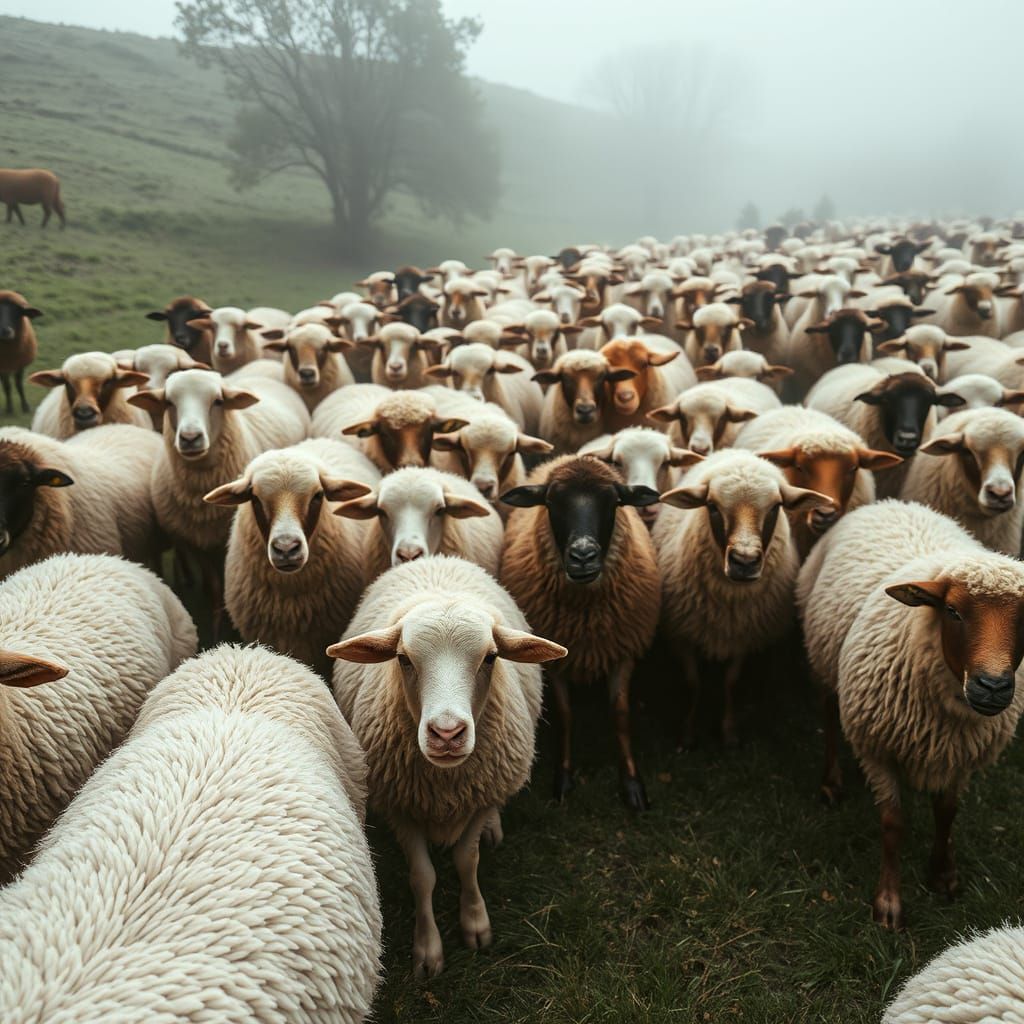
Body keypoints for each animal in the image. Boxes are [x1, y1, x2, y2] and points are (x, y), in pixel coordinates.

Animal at [128, 369, 309, 632]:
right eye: (169, 403)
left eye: (218, 401)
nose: (190, 438)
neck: (203, 497)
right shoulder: (195, 539)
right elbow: (214, 584)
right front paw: (216, 621)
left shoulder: (227, 542)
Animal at [331, 556, 563, 978]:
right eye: (403, 658)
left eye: (490, 657)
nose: (447, 733)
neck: (444, 784)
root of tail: (435, 558)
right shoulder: (400, 805)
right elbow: (422, 877)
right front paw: (428, 949)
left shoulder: (481, 797)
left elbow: (466, 860)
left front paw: (475, 923)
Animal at [501, 455, 661, 810]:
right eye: (550, 502)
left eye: (615, 501)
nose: (583, 555)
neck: (587, 619)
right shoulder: (556, 657)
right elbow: (564, 715)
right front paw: (563, 777)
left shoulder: (623, 650)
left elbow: (620, 714)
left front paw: (632, 784)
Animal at [654, 450, 832, 747]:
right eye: (712, 506)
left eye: (776, 507)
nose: (745, 562)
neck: (729, 603)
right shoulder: (682, 632)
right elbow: (693, 683)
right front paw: (688, 733)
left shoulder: (742, 635)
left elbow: (731, 682)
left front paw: (728, 732)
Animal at [797, 500, 1024, 929]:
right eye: (952, 611)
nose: (992, 686)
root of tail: (889, 503)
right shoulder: (876, 747)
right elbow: (893, 823)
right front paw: (888, 902)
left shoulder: (961, 756)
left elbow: (947, 812)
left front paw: (943, 874)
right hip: (821, 657)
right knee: (828, 714)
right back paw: (831, 781)